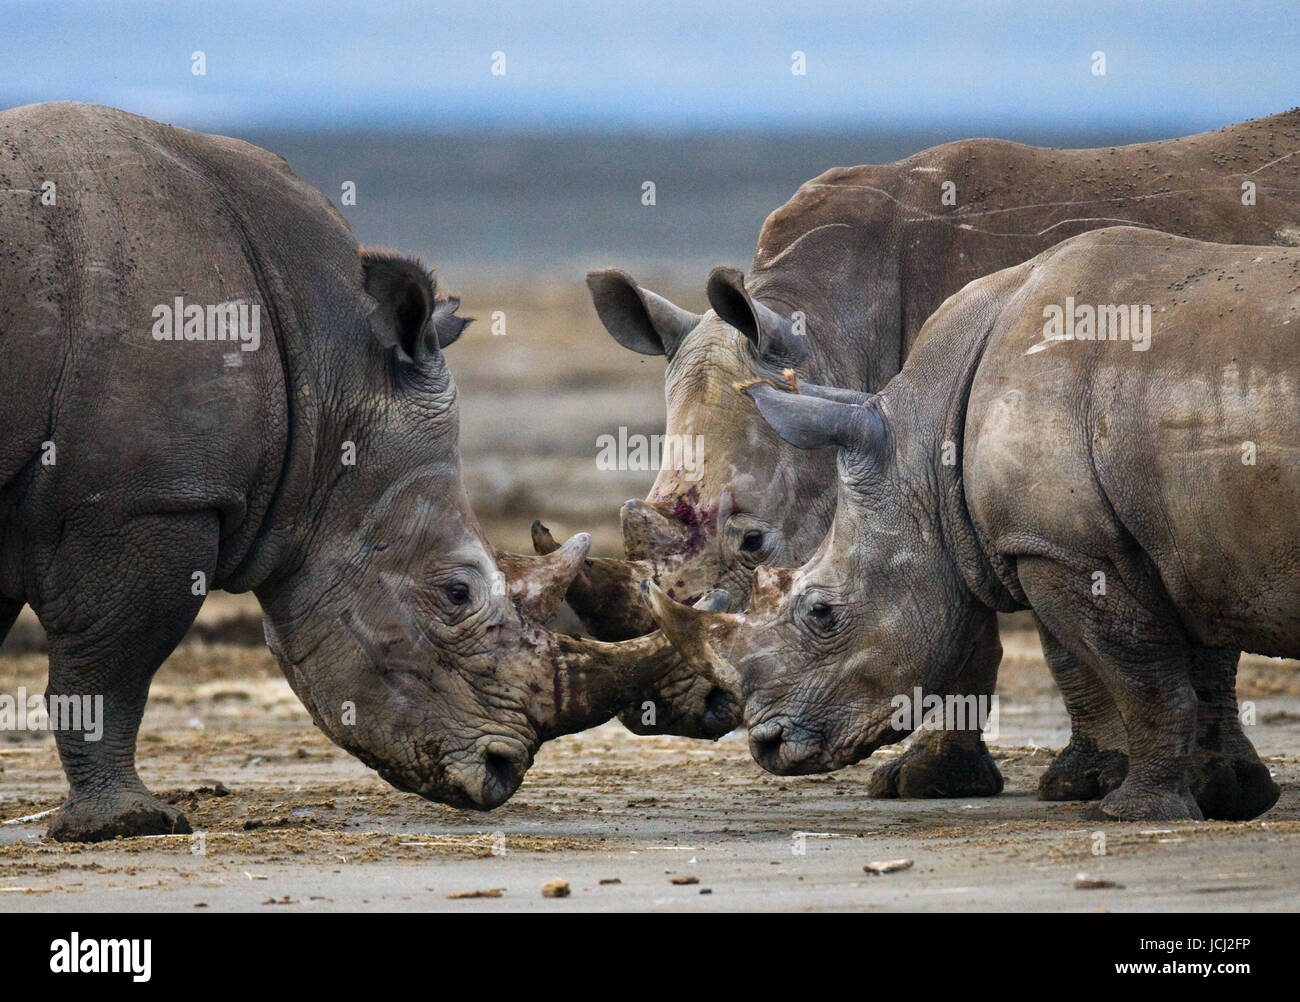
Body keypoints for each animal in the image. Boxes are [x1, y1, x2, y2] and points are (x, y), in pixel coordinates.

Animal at [0, 102, 676, 841]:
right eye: (456, 593)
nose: (502, 772)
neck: (331, 377)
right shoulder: (150, 498)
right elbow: (112, 663)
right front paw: (129, 824)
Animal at [564, 109, 1300, 801]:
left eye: (753, 542)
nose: (666, 711)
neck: (832, 331)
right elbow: (962, 625)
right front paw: (934, 779)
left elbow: (1085, 636)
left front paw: (1126, 782)